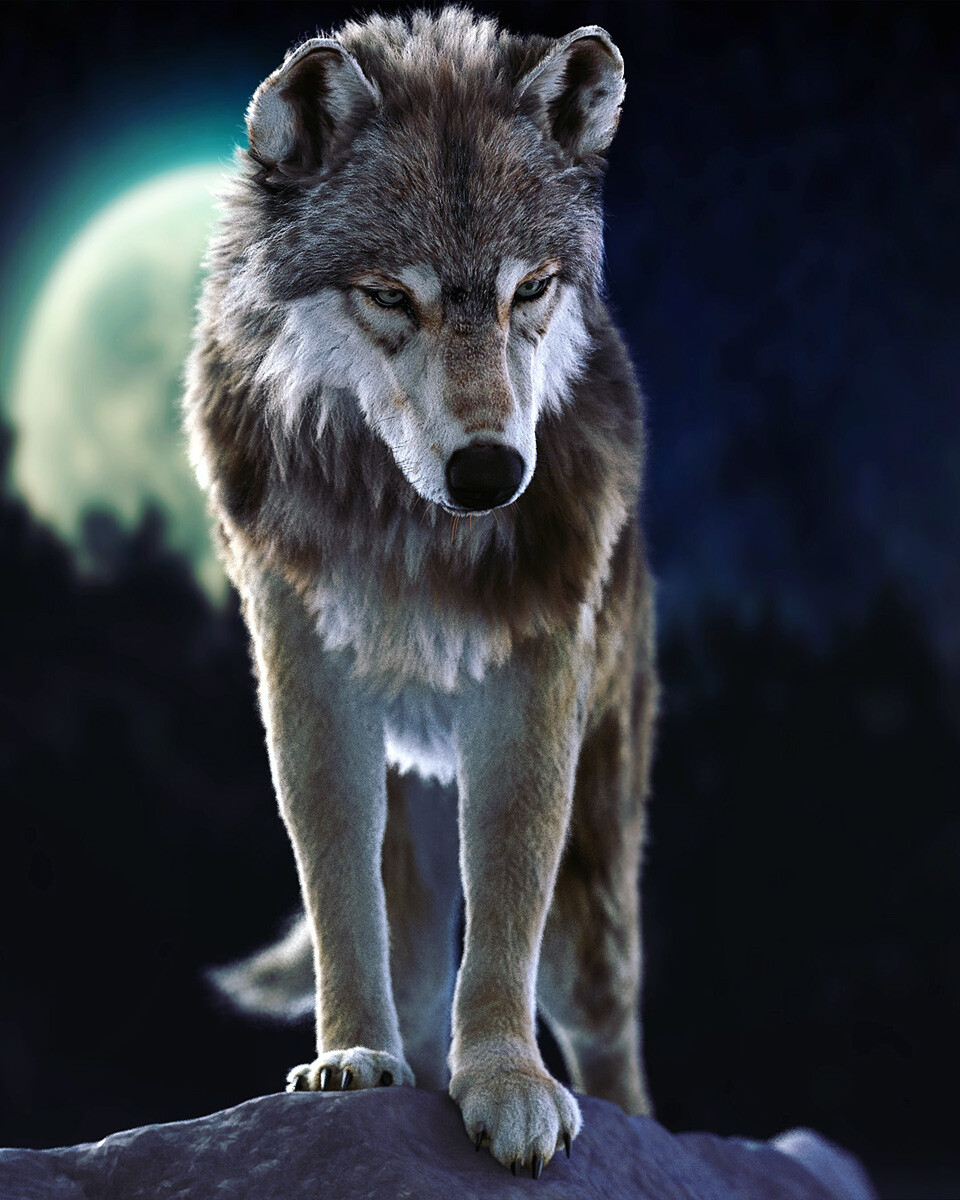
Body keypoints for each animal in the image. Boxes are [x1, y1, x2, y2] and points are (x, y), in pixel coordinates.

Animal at [184, 7, 657, 1178]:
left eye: (529, 289)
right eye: (391, 295)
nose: (490, 473)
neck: (411, 536)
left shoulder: (534, 681)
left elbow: (508, 911)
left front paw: (507, 1084)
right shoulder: (305, 677)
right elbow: (341, 896)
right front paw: (352, 1059)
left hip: (596, 878)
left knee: (600, 1011)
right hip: (411, 803)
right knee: (411, 940)